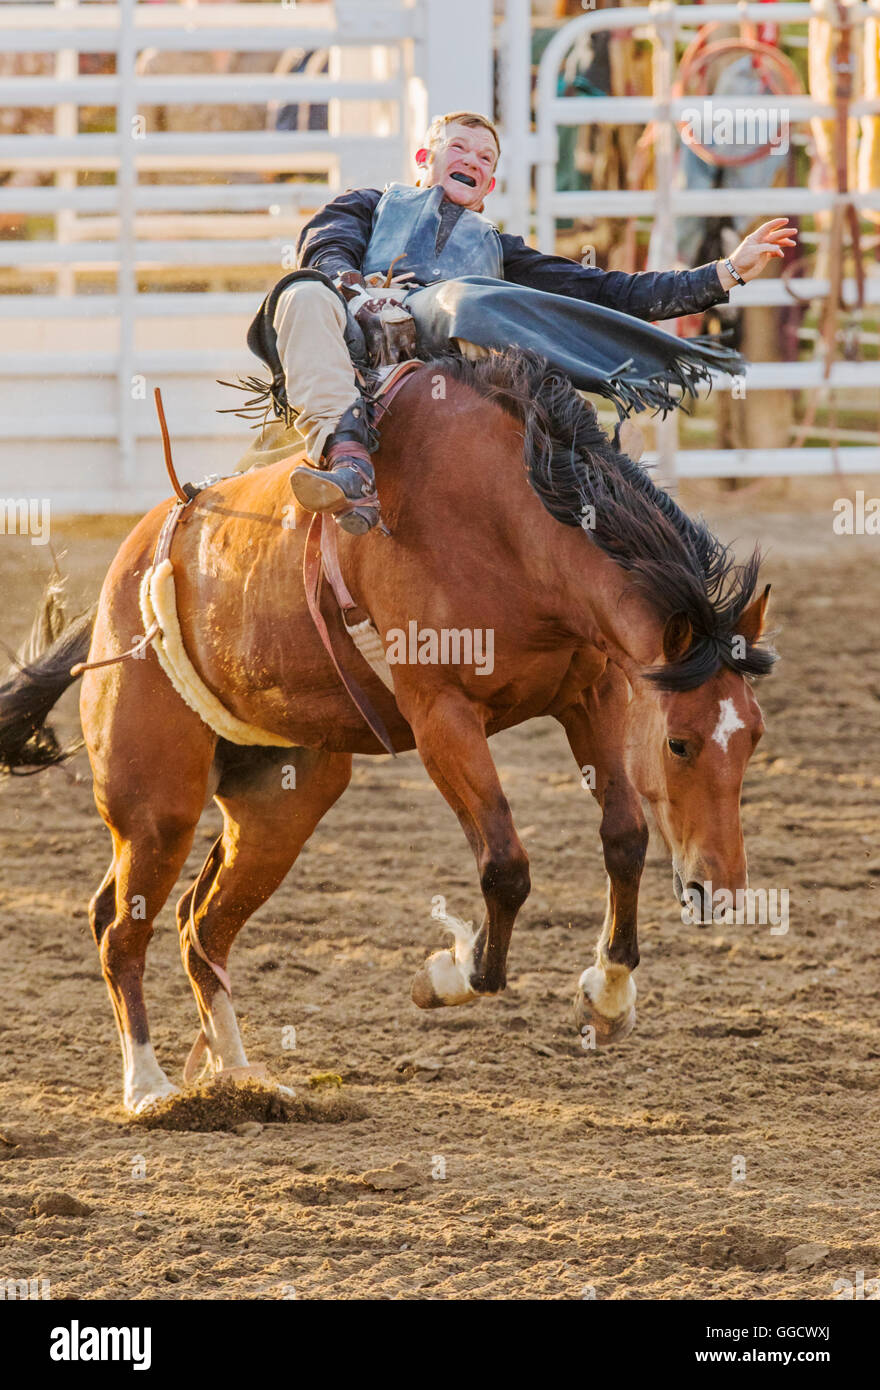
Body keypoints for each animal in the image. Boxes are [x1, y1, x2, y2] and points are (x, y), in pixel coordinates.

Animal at [0, 349, 775, 1114]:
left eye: (754, 738)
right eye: (679, 743)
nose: (722, 892)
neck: (504, 522)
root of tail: (121, 586)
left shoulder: (593, 693)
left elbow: (625, 838)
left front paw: (607, 996)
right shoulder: (442, 717)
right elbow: (505, 865)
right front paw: (451, 971)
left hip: (281, 804)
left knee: (201, 925)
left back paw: (238, 1076)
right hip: (156, 809)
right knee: (119, 927)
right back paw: (150, 1086)